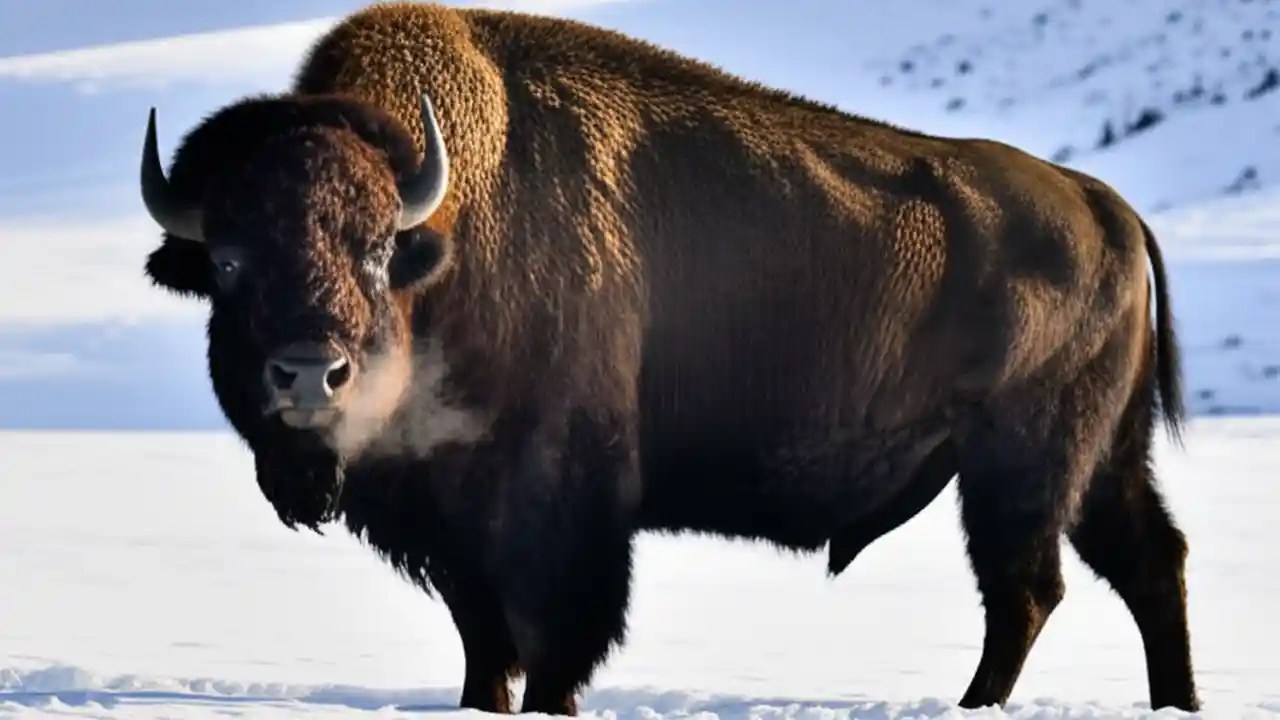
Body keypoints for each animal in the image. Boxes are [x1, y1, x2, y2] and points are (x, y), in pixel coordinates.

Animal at [138, 2, 1199, 715]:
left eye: (372, 249)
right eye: (226, 260)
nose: (307, 375)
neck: (443, 233)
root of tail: (1099, 200)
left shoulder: (562, 504)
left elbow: (555, 639)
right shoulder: (451, 526)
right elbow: (486, 646)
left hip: (1020, 461)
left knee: (1025, 589)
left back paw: (976, 706)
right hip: (1101, 459)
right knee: (1148, 563)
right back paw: (1174, 704)